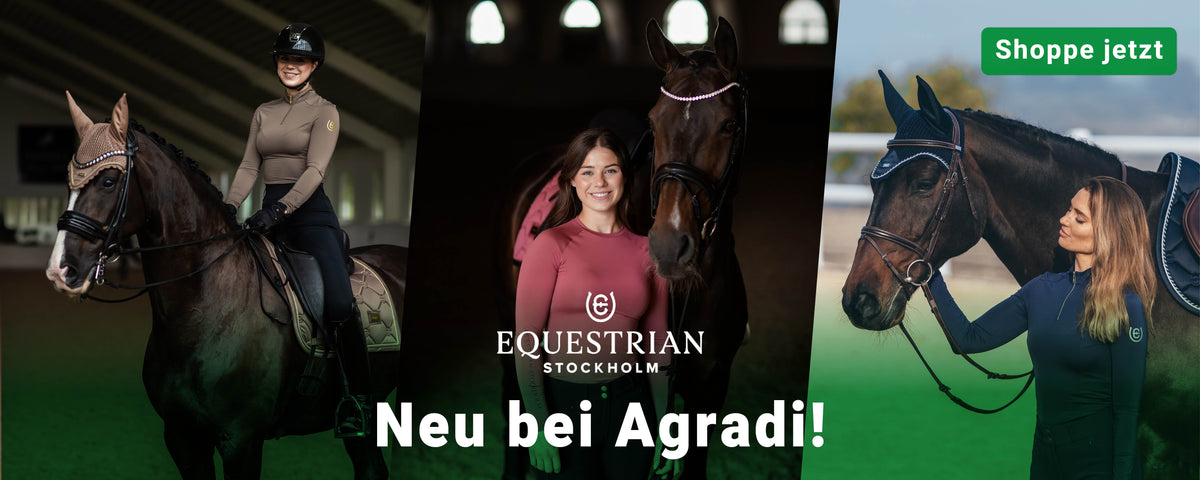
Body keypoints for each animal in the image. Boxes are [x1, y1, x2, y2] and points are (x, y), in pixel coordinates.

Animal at [45, 93, 407, 480]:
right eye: (69, 181)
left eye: (109, 181)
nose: (60, 269)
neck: (203, 308)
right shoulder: (182, 437)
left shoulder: (241, 440)